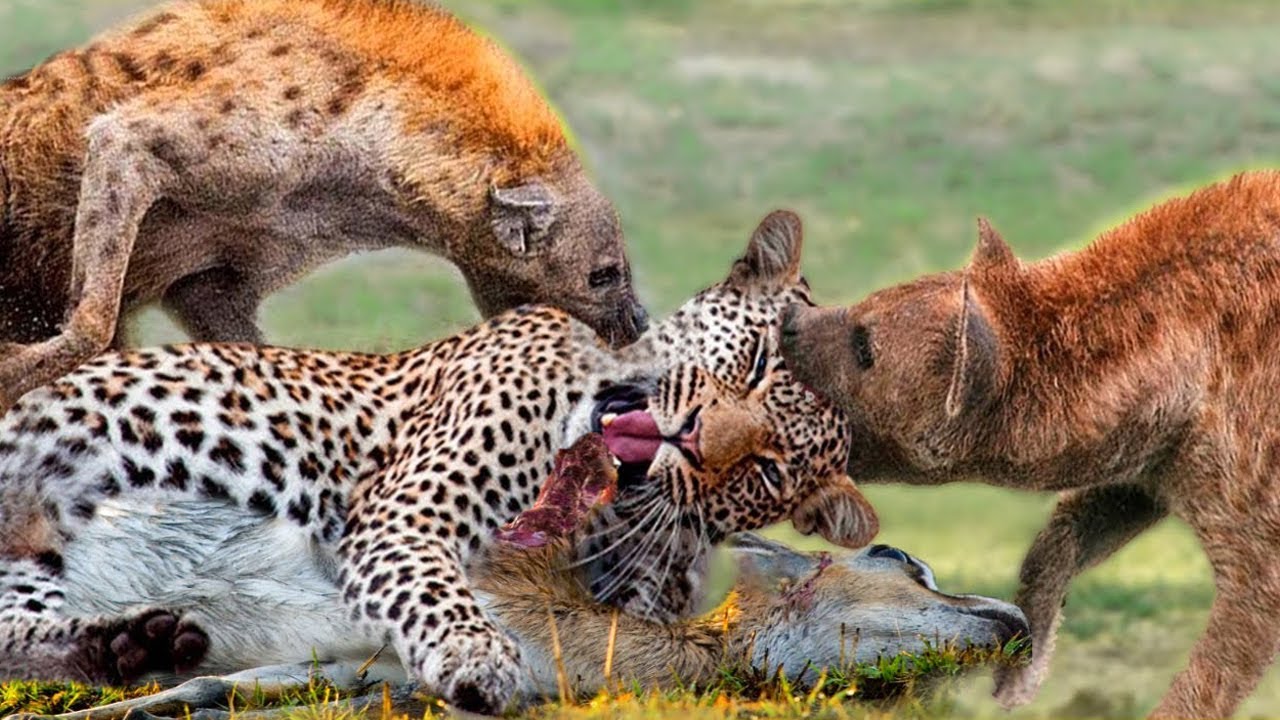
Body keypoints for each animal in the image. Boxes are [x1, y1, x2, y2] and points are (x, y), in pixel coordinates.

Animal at [0, 210, 876, 714]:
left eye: (766, 468)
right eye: (756, 361)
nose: (694, 438)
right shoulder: (403, 513)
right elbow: (437, 589)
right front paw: (475, 656)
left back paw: (130, 647)